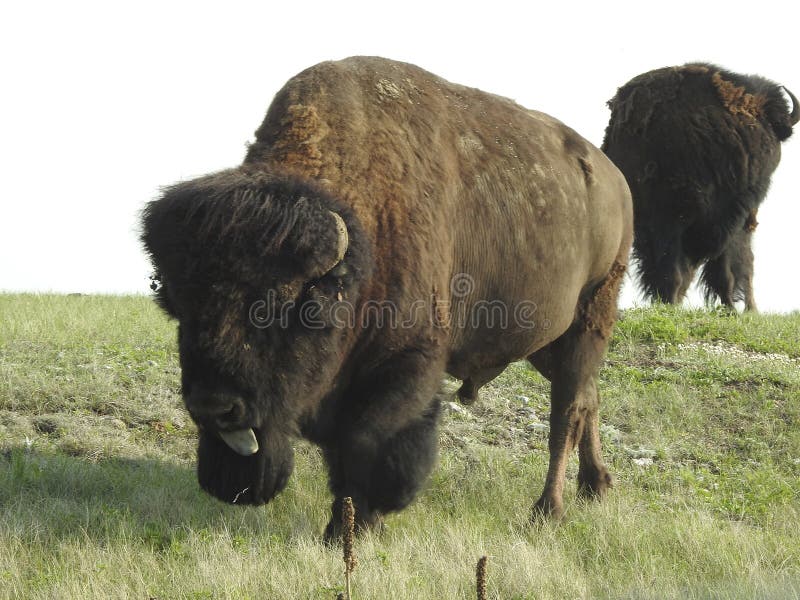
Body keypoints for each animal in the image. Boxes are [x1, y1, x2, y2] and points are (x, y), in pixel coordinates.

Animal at [141, 56, 632, 537]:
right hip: (546, 341)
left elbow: (367, 441)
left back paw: (548, 512)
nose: (214, 405)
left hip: (591, 315)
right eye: (179, 306)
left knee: (566, 411)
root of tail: (614, 177)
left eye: (277, 304)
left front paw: (356, 527)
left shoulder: (404, 362)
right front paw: (349, 526)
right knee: (588, 396)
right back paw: (596, 487)